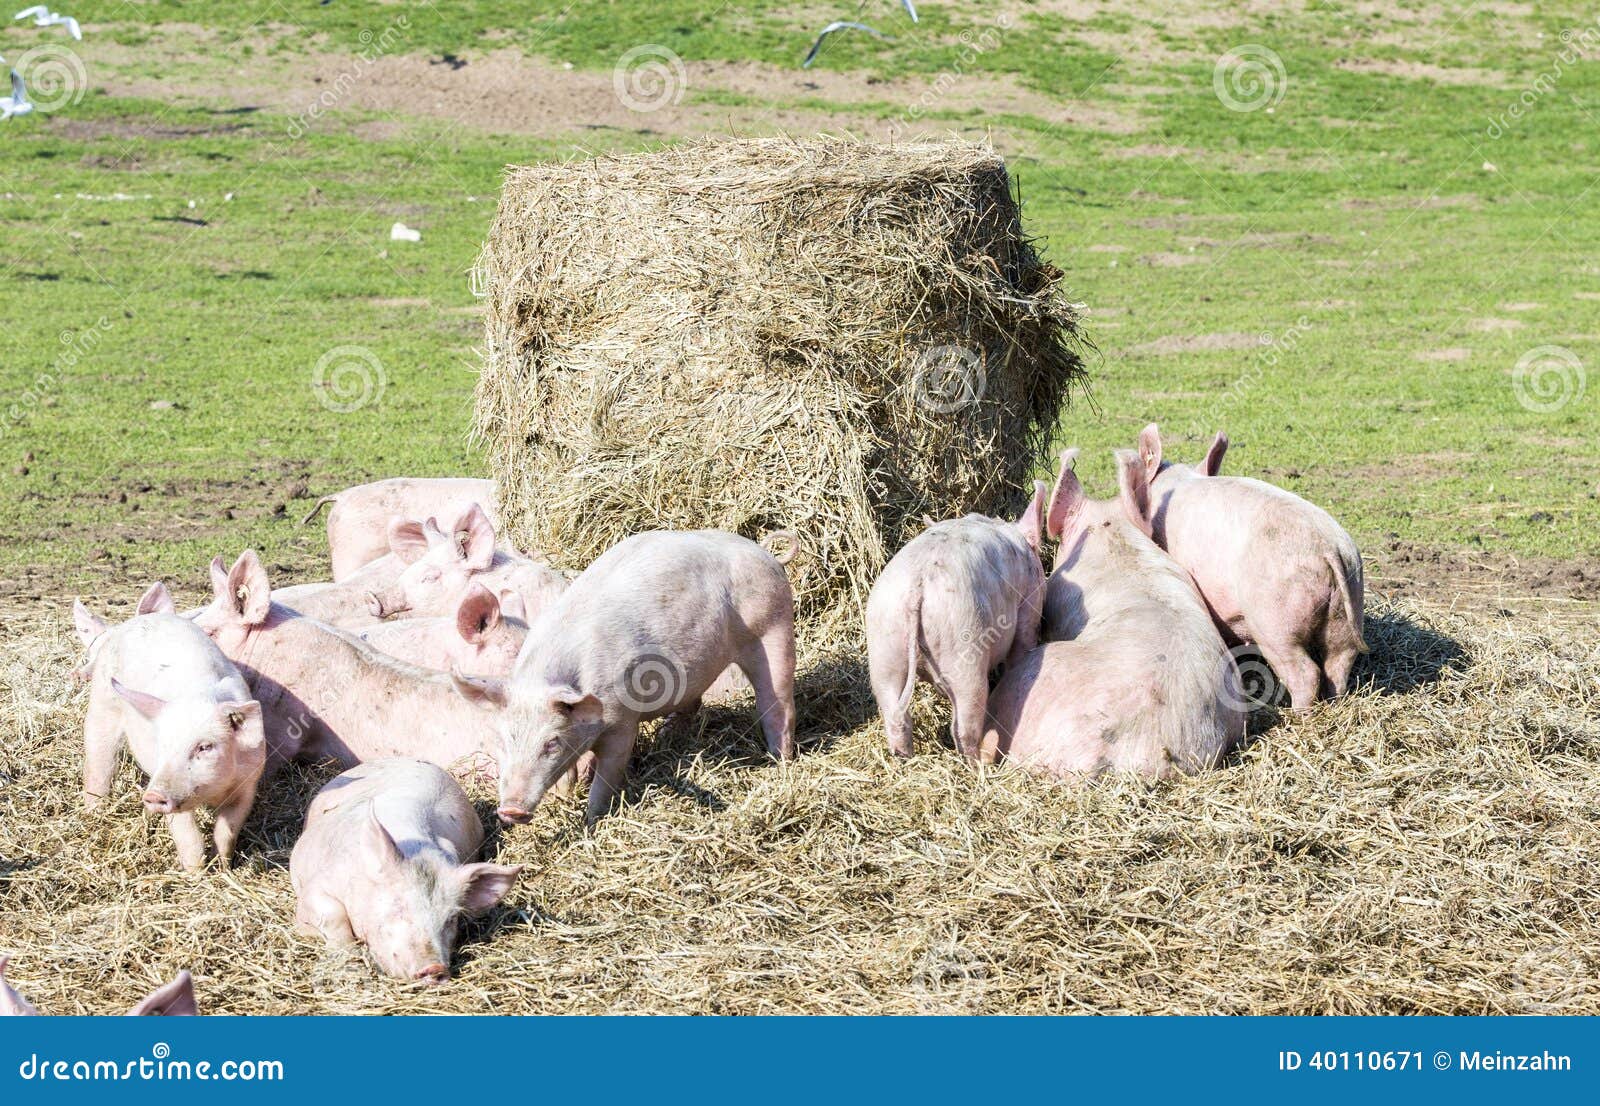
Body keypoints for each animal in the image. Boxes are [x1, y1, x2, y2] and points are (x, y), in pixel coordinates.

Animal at [74, 585, 267, 871]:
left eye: (204, 746)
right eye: (162, 745)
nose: (153, 796)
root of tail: (131, 622)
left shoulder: (248, 782)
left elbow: (227, 832)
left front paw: (223, 868)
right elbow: (188, 837)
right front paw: (196, 873)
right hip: (102, 708)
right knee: (98, 766)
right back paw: (94, 813)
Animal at [452, 529, 796, 826]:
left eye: (551, 742)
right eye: (503, 739)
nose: (511, 810)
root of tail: (766, 552)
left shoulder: (622, 722)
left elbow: (607, 778)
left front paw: (591, 822)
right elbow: (567, 776)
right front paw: (565, 798)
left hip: (774, 626)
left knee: (778, 705)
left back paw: (781, 763)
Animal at [865, 482, 1048, 760]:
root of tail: (918, 585)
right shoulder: (1028, 605)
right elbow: (1021, 647)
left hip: (883, 645)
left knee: (894, 713)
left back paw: (904, 757)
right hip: (964, 643)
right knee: (963, 726)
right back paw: (978, 764)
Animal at [1136, 424, 1367, 708]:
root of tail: (1329, 550)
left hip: (1274, 621)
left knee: (1305, 672)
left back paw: (1298, 712)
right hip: (1346, 609)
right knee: (1340, 660)